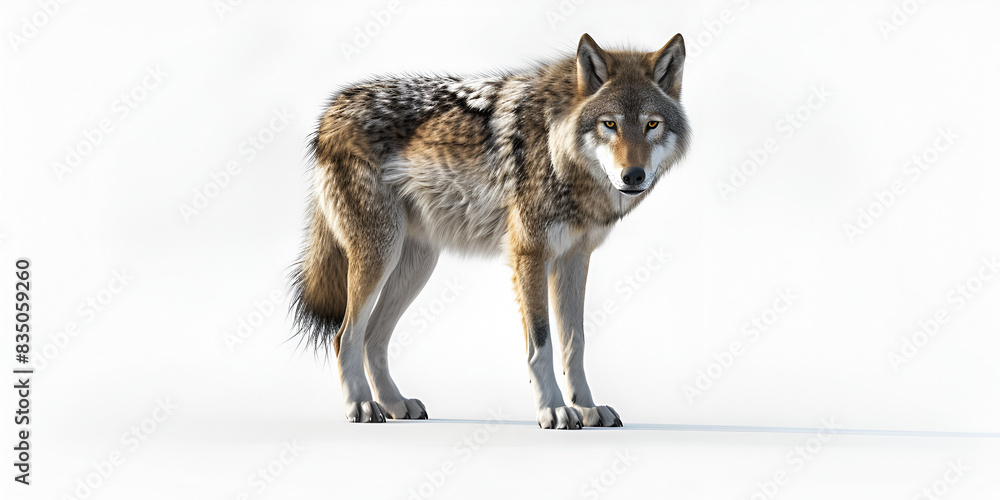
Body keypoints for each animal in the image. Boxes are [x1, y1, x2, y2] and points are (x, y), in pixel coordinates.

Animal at [292, 33, 690, 429]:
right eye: (609, 124)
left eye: (651, 125)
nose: (633, 176)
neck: (558, 152)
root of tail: (332, 110)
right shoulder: (530, 254)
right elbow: (541, 345)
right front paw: (553, 410)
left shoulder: (574, 259)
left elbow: (574, 343)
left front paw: (588, 408)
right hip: (380, 255)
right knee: (345, 337)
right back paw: (359, 405)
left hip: (416, 266)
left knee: (372, 338)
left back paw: (394, 403)